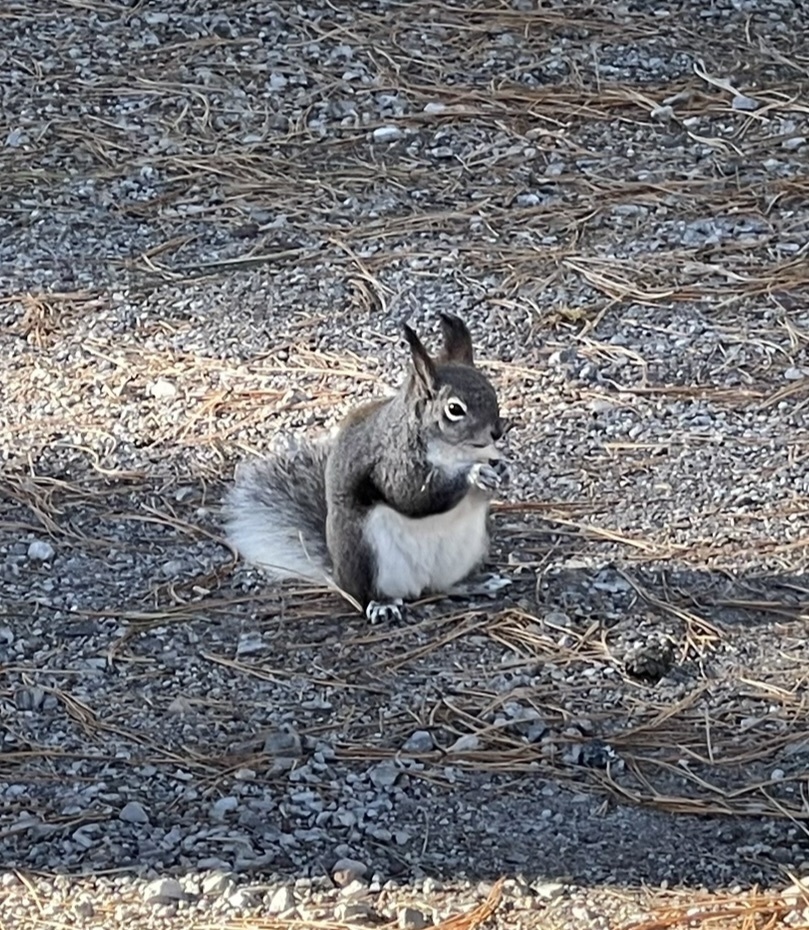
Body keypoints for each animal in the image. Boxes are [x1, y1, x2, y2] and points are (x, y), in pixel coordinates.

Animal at [224, 313, 508, 623]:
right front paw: (474, 474)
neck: (456, 450)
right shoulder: (391, 462)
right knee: (368, 594)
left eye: (493, 391)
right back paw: (383, 604)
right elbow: (414, 496)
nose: (497, 432)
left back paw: (477, 583)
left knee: (445, 585)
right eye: (455, 409)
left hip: (470, 548)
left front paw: (502, 470)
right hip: (365, 553)